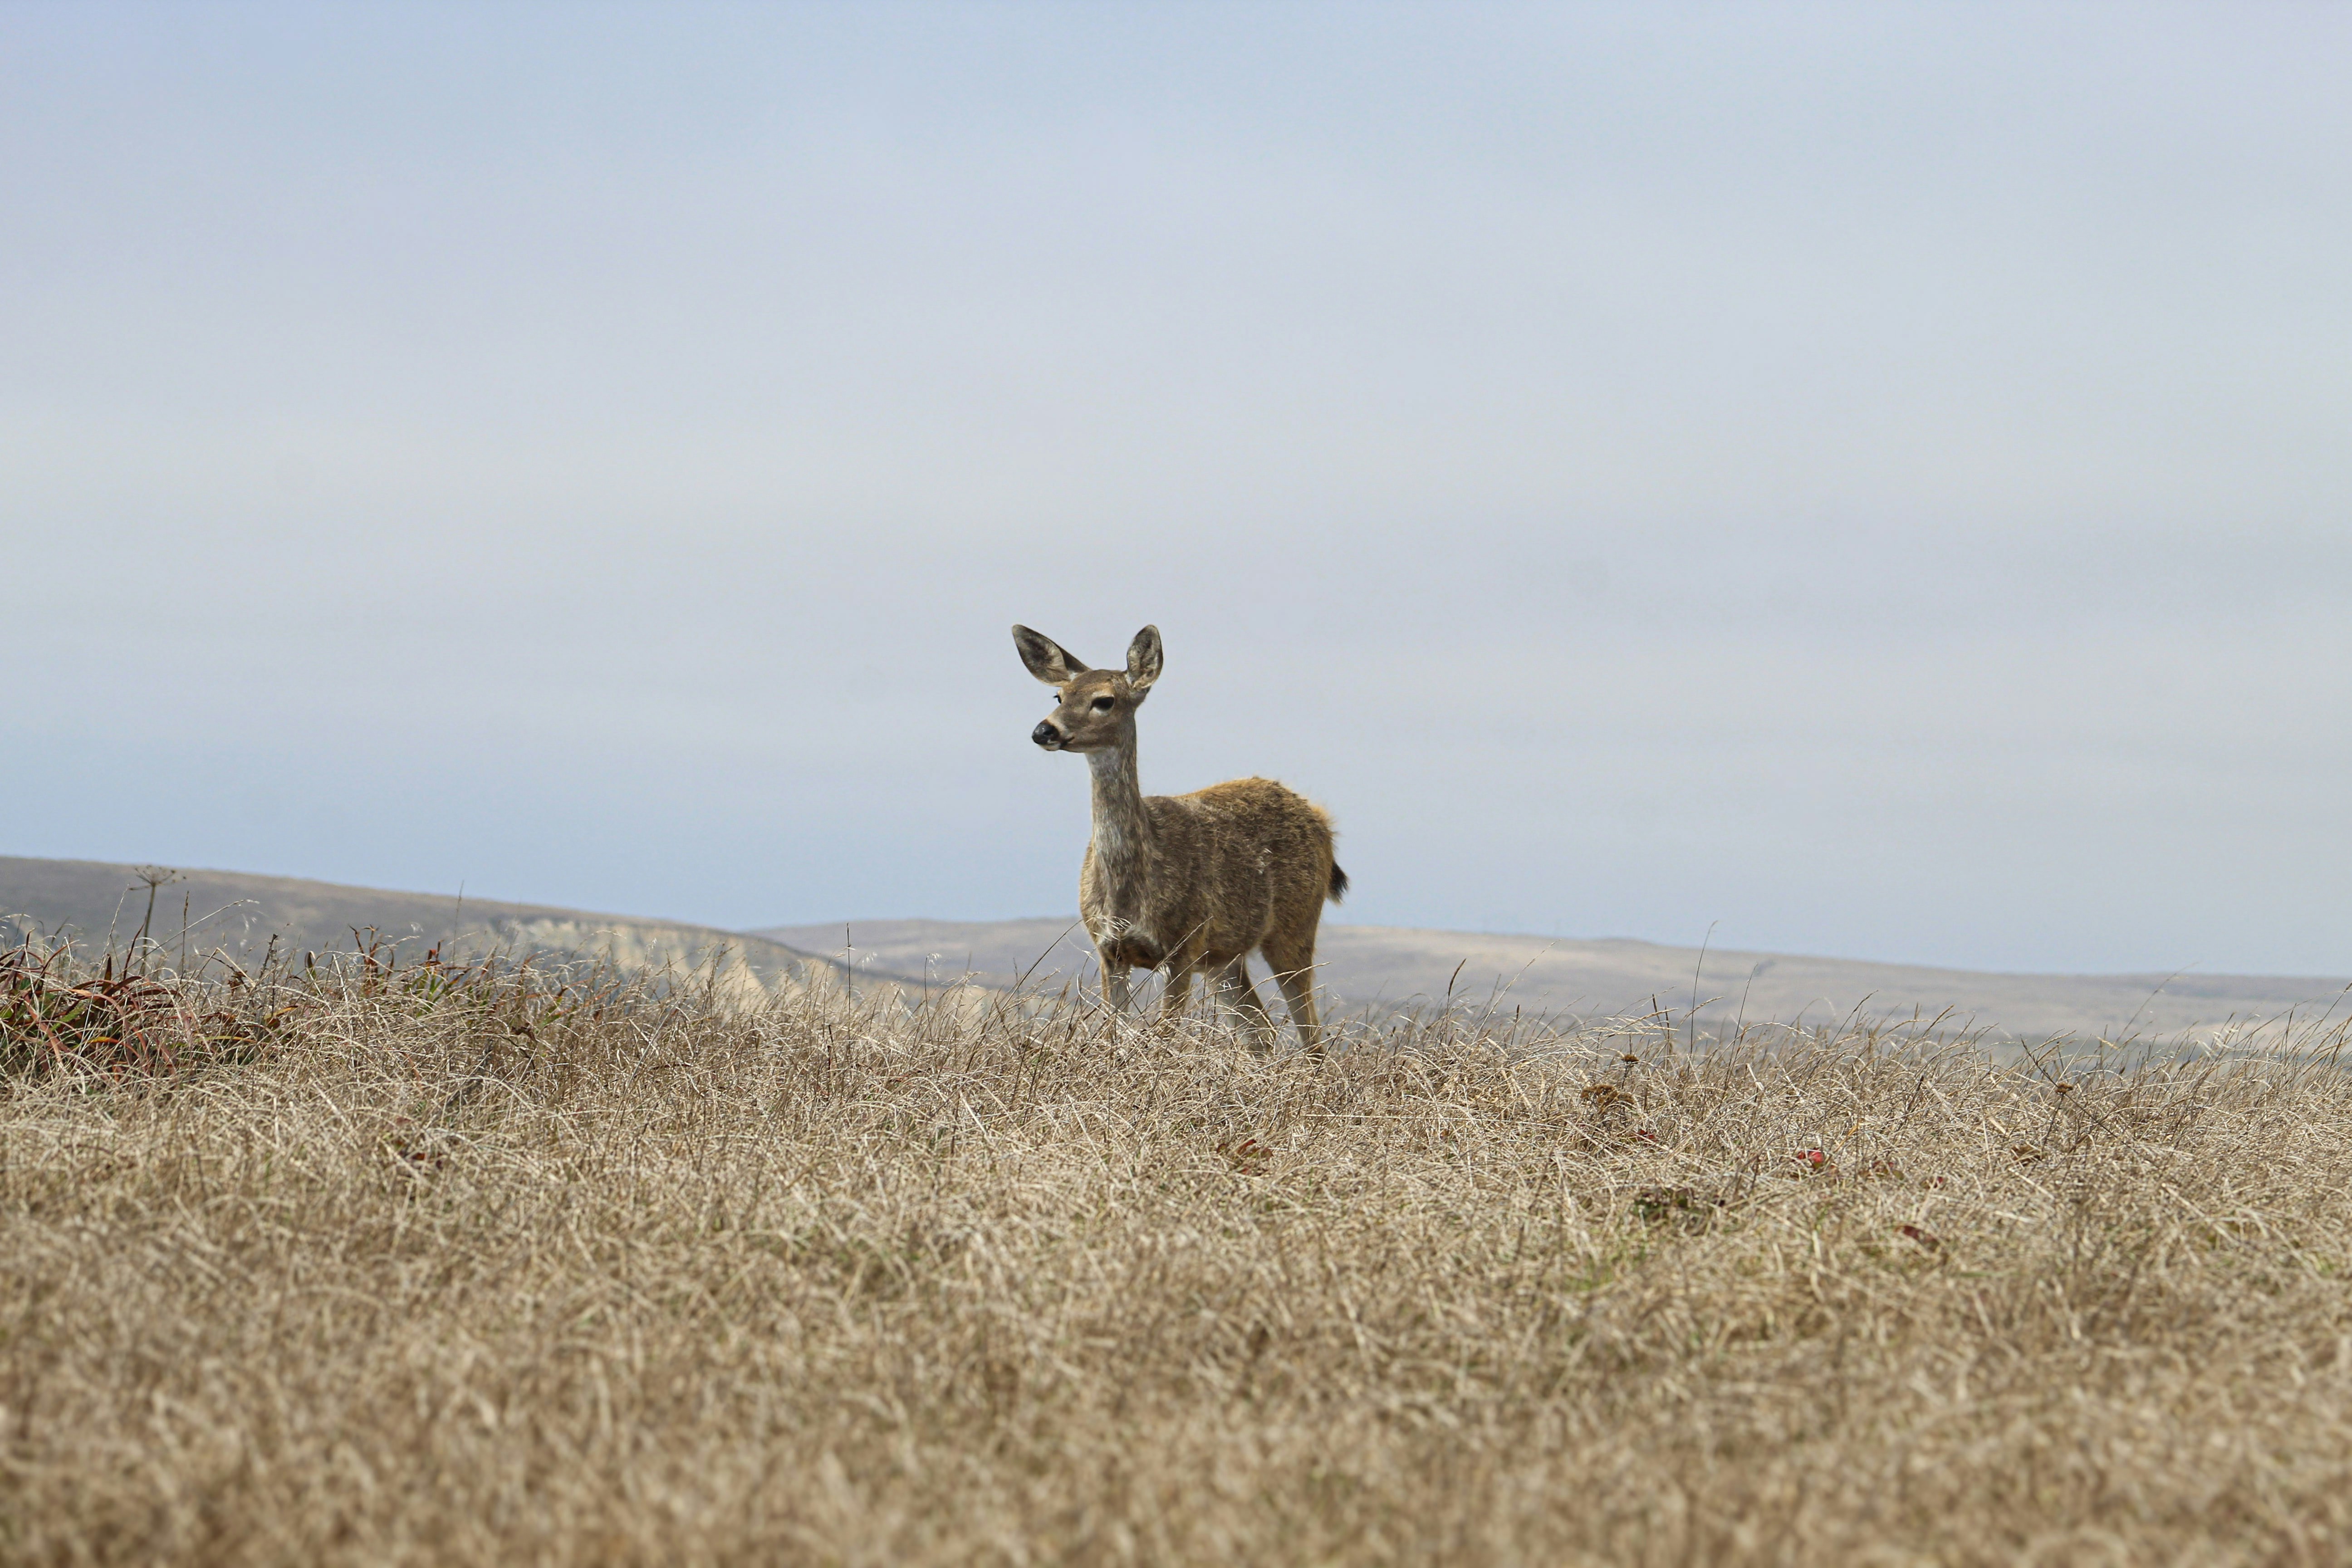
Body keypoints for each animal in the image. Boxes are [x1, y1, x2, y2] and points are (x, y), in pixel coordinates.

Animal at [1013, 623, 1347, 1053]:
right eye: (1059, 695)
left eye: (1104, 701)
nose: (1044, 730)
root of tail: (1322, 822)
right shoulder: (1109, 950)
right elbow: (1115, 1034)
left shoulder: (1182, 946)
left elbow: (1164, 1039)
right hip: (1224, 958)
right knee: (1263, 1029)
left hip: (1294, 928)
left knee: (1311, 1038)